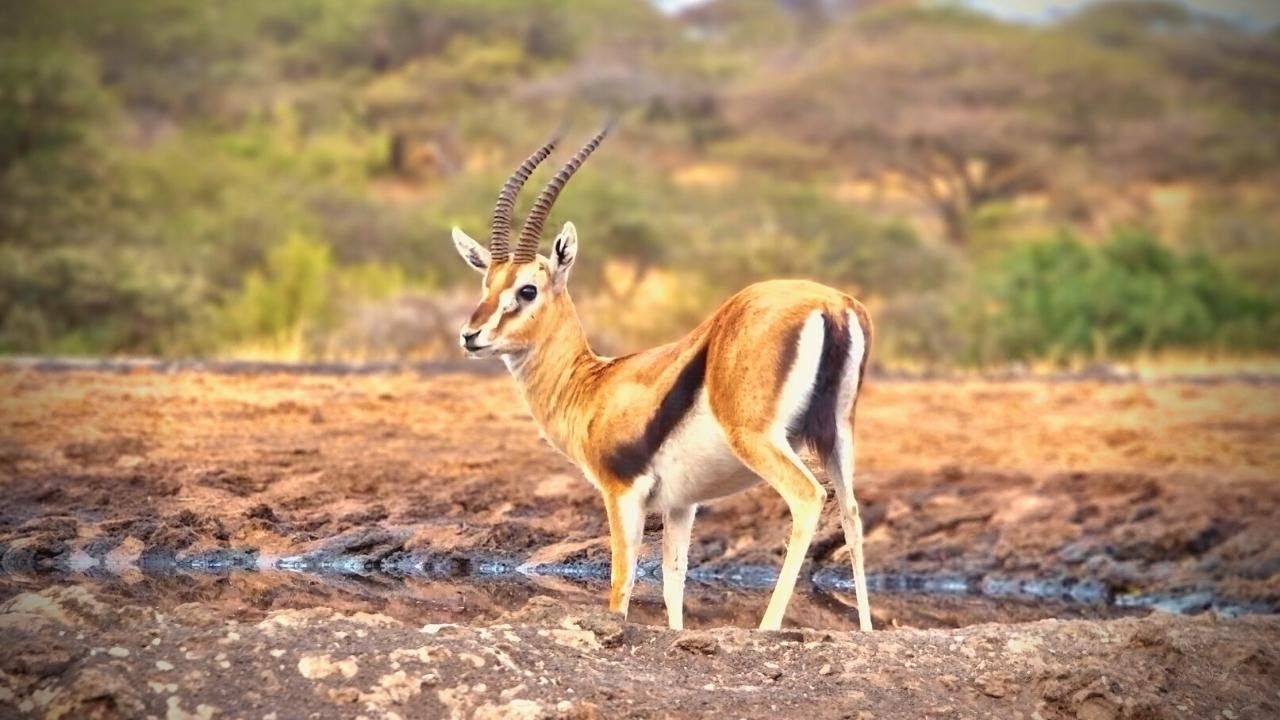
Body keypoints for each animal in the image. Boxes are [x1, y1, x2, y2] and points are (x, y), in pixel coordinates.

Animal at [449, 127, 874, 631]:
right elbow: (673, 586)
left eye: (527, 290)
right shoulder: (680, 504)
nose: (470, 336)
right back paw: (867, 630)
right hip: (838, 437)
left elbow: (622, 585)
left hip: (761, 441)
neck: (591, 386)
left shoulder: (622, 493)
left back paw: (768, 627)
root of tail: (832, 304)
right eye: (487, 285)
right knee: (852, 514)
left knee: (808, 498)